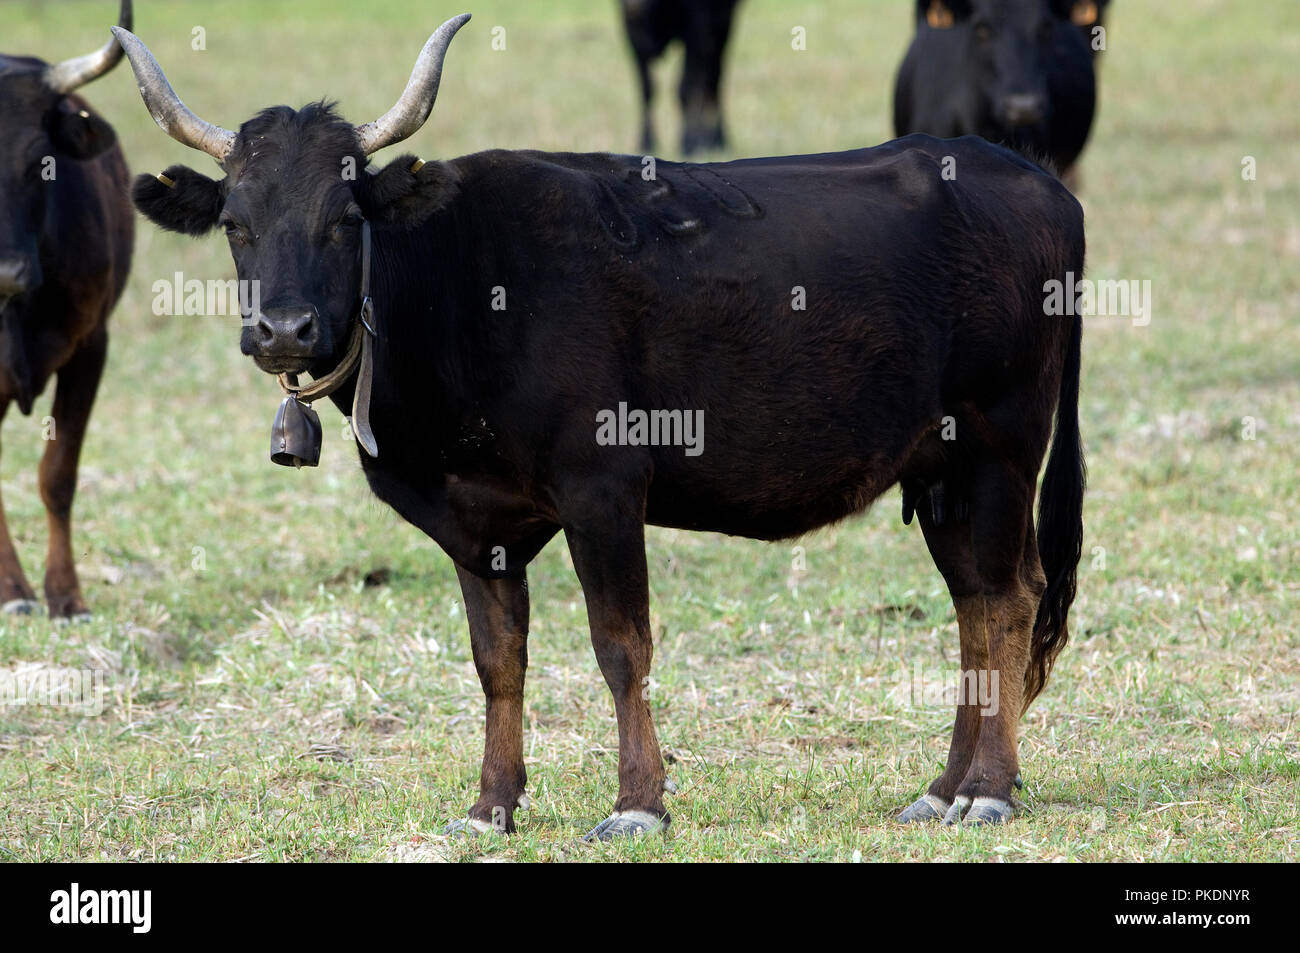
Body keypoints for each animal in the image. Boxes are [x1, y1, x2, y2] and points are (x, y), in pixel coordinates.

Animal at [620, 0, 742, 155]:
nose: (634, 5)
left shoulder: (695, 28)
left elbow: (685, 89)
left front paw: (687, 144)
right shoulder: (632, 31)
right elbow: (647, 90)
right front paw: (646, 142)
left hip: (723, 27)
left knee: (713, 81)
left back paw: (719, 139)